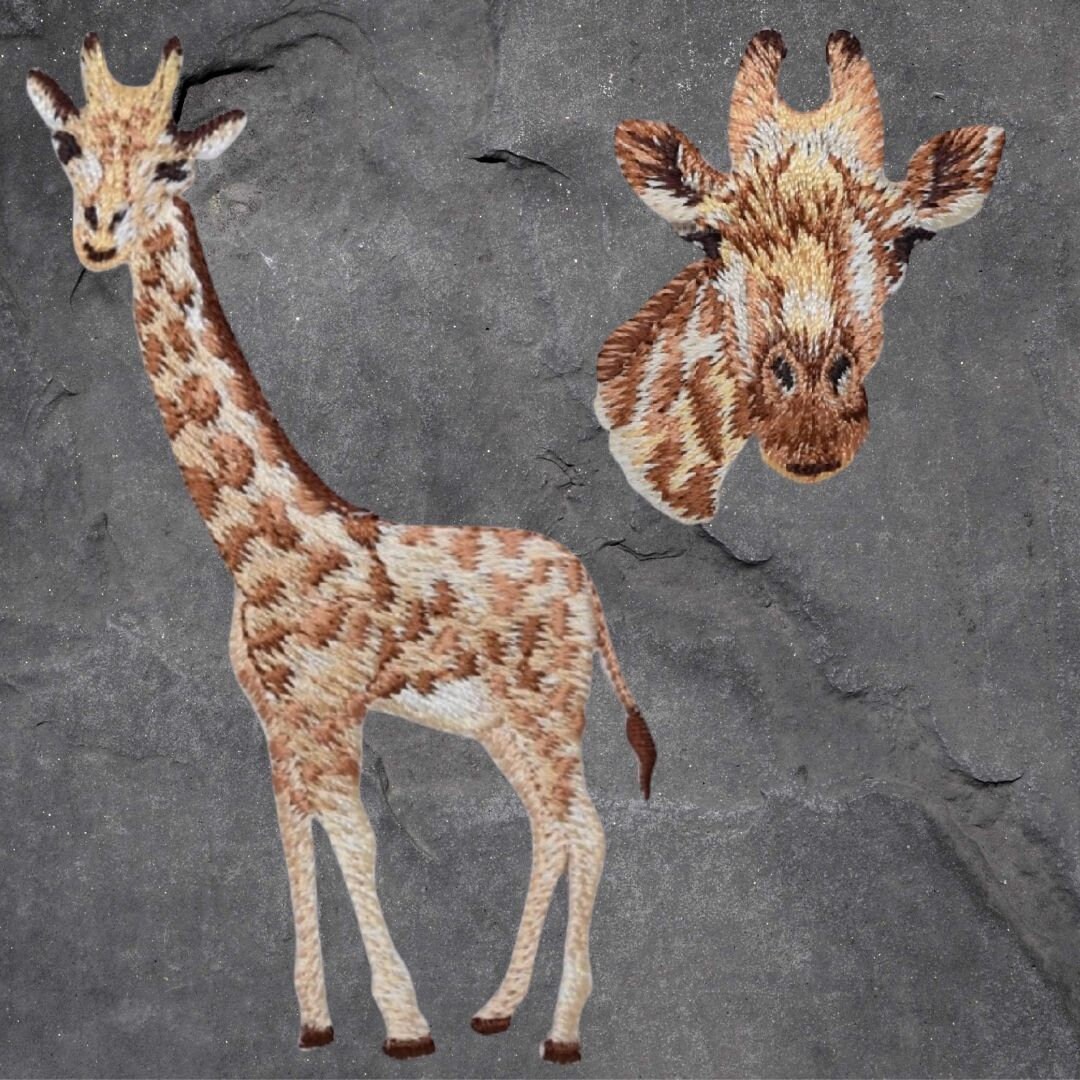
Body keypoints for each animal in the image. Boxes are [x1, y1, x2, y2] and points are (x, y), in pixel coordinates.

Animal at [27, 34, 656, 1064]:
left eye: (173, 167)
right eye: (65, 147)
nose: (99, 235)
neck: (254, 549)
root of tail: (589, 584)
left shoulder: (331, 711)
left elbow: (356, 837)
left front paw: (403, 1025)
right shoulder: (277, 721)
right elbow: (296, 839)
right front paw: (315, 1022)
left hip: (551, 709)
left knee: (587, 828)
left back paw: (558, 1031)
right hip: (500, 722)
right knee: (552, 828)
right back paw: (498, 1009)